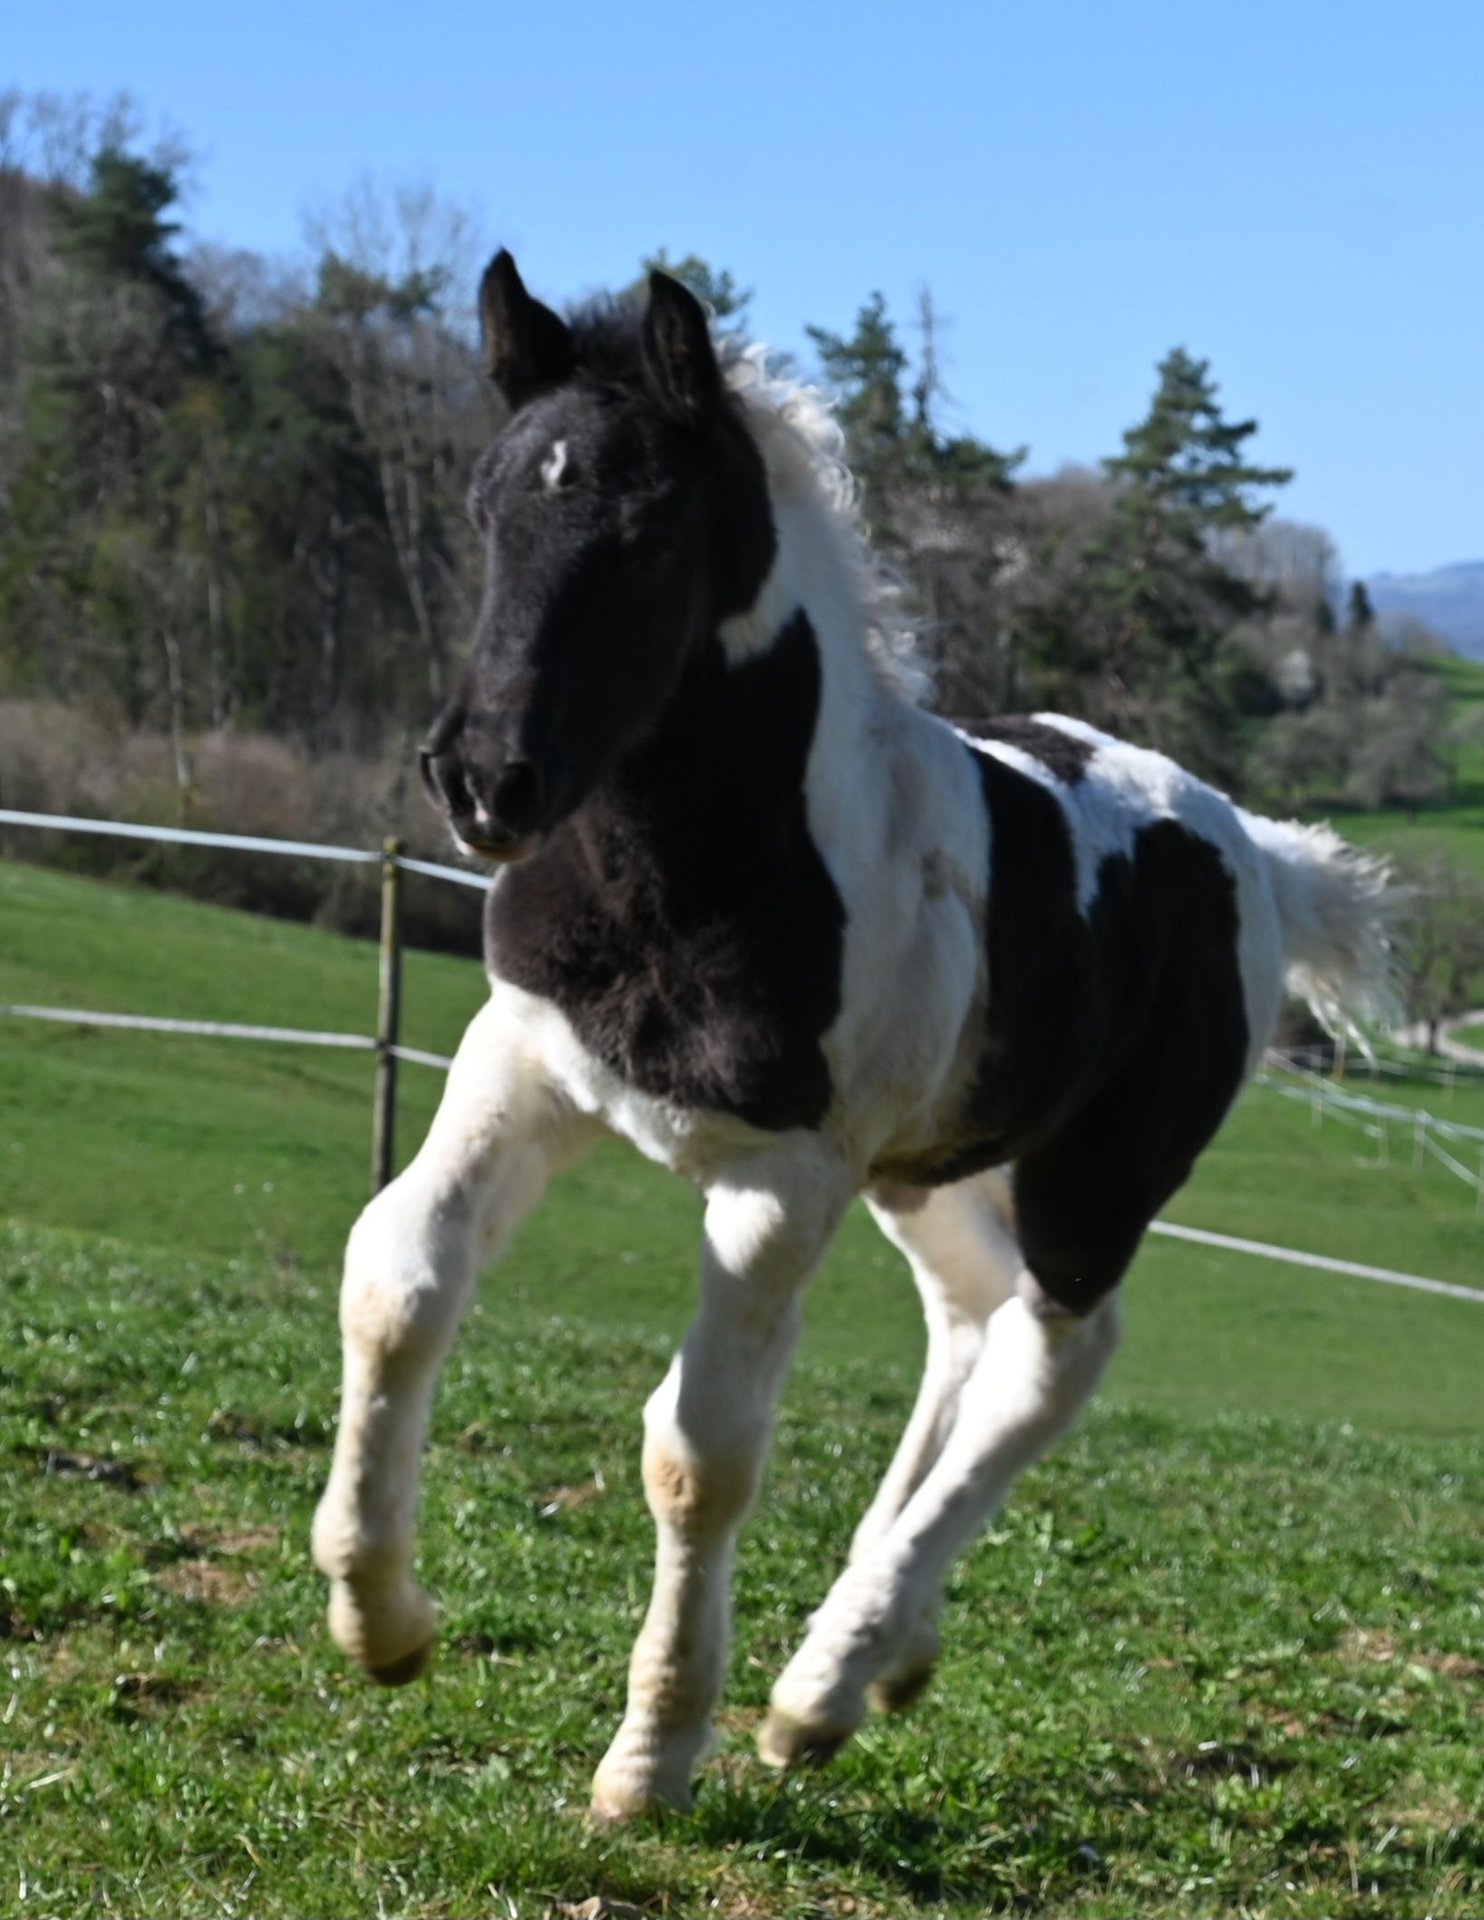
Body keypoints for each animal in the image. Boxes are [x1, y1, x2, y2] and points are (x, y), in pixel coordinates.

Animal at [311, 253, 1394, 1821]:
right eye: (486, 505)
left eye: (649, 530)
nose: (482, 777)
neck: (692, 874)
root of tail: (1255, 848)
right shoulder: (522, 1064)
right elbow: (396, 1277)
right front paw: (382, 1621)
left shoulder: (783, 1177)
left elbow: (700, 1450)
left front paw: (651, 1759)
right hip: (930, 1168)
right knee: (972, 1323)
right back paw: (870, 1658)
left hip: (1091, 1180)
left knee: (1051, 1355)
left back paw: (821, 1684)